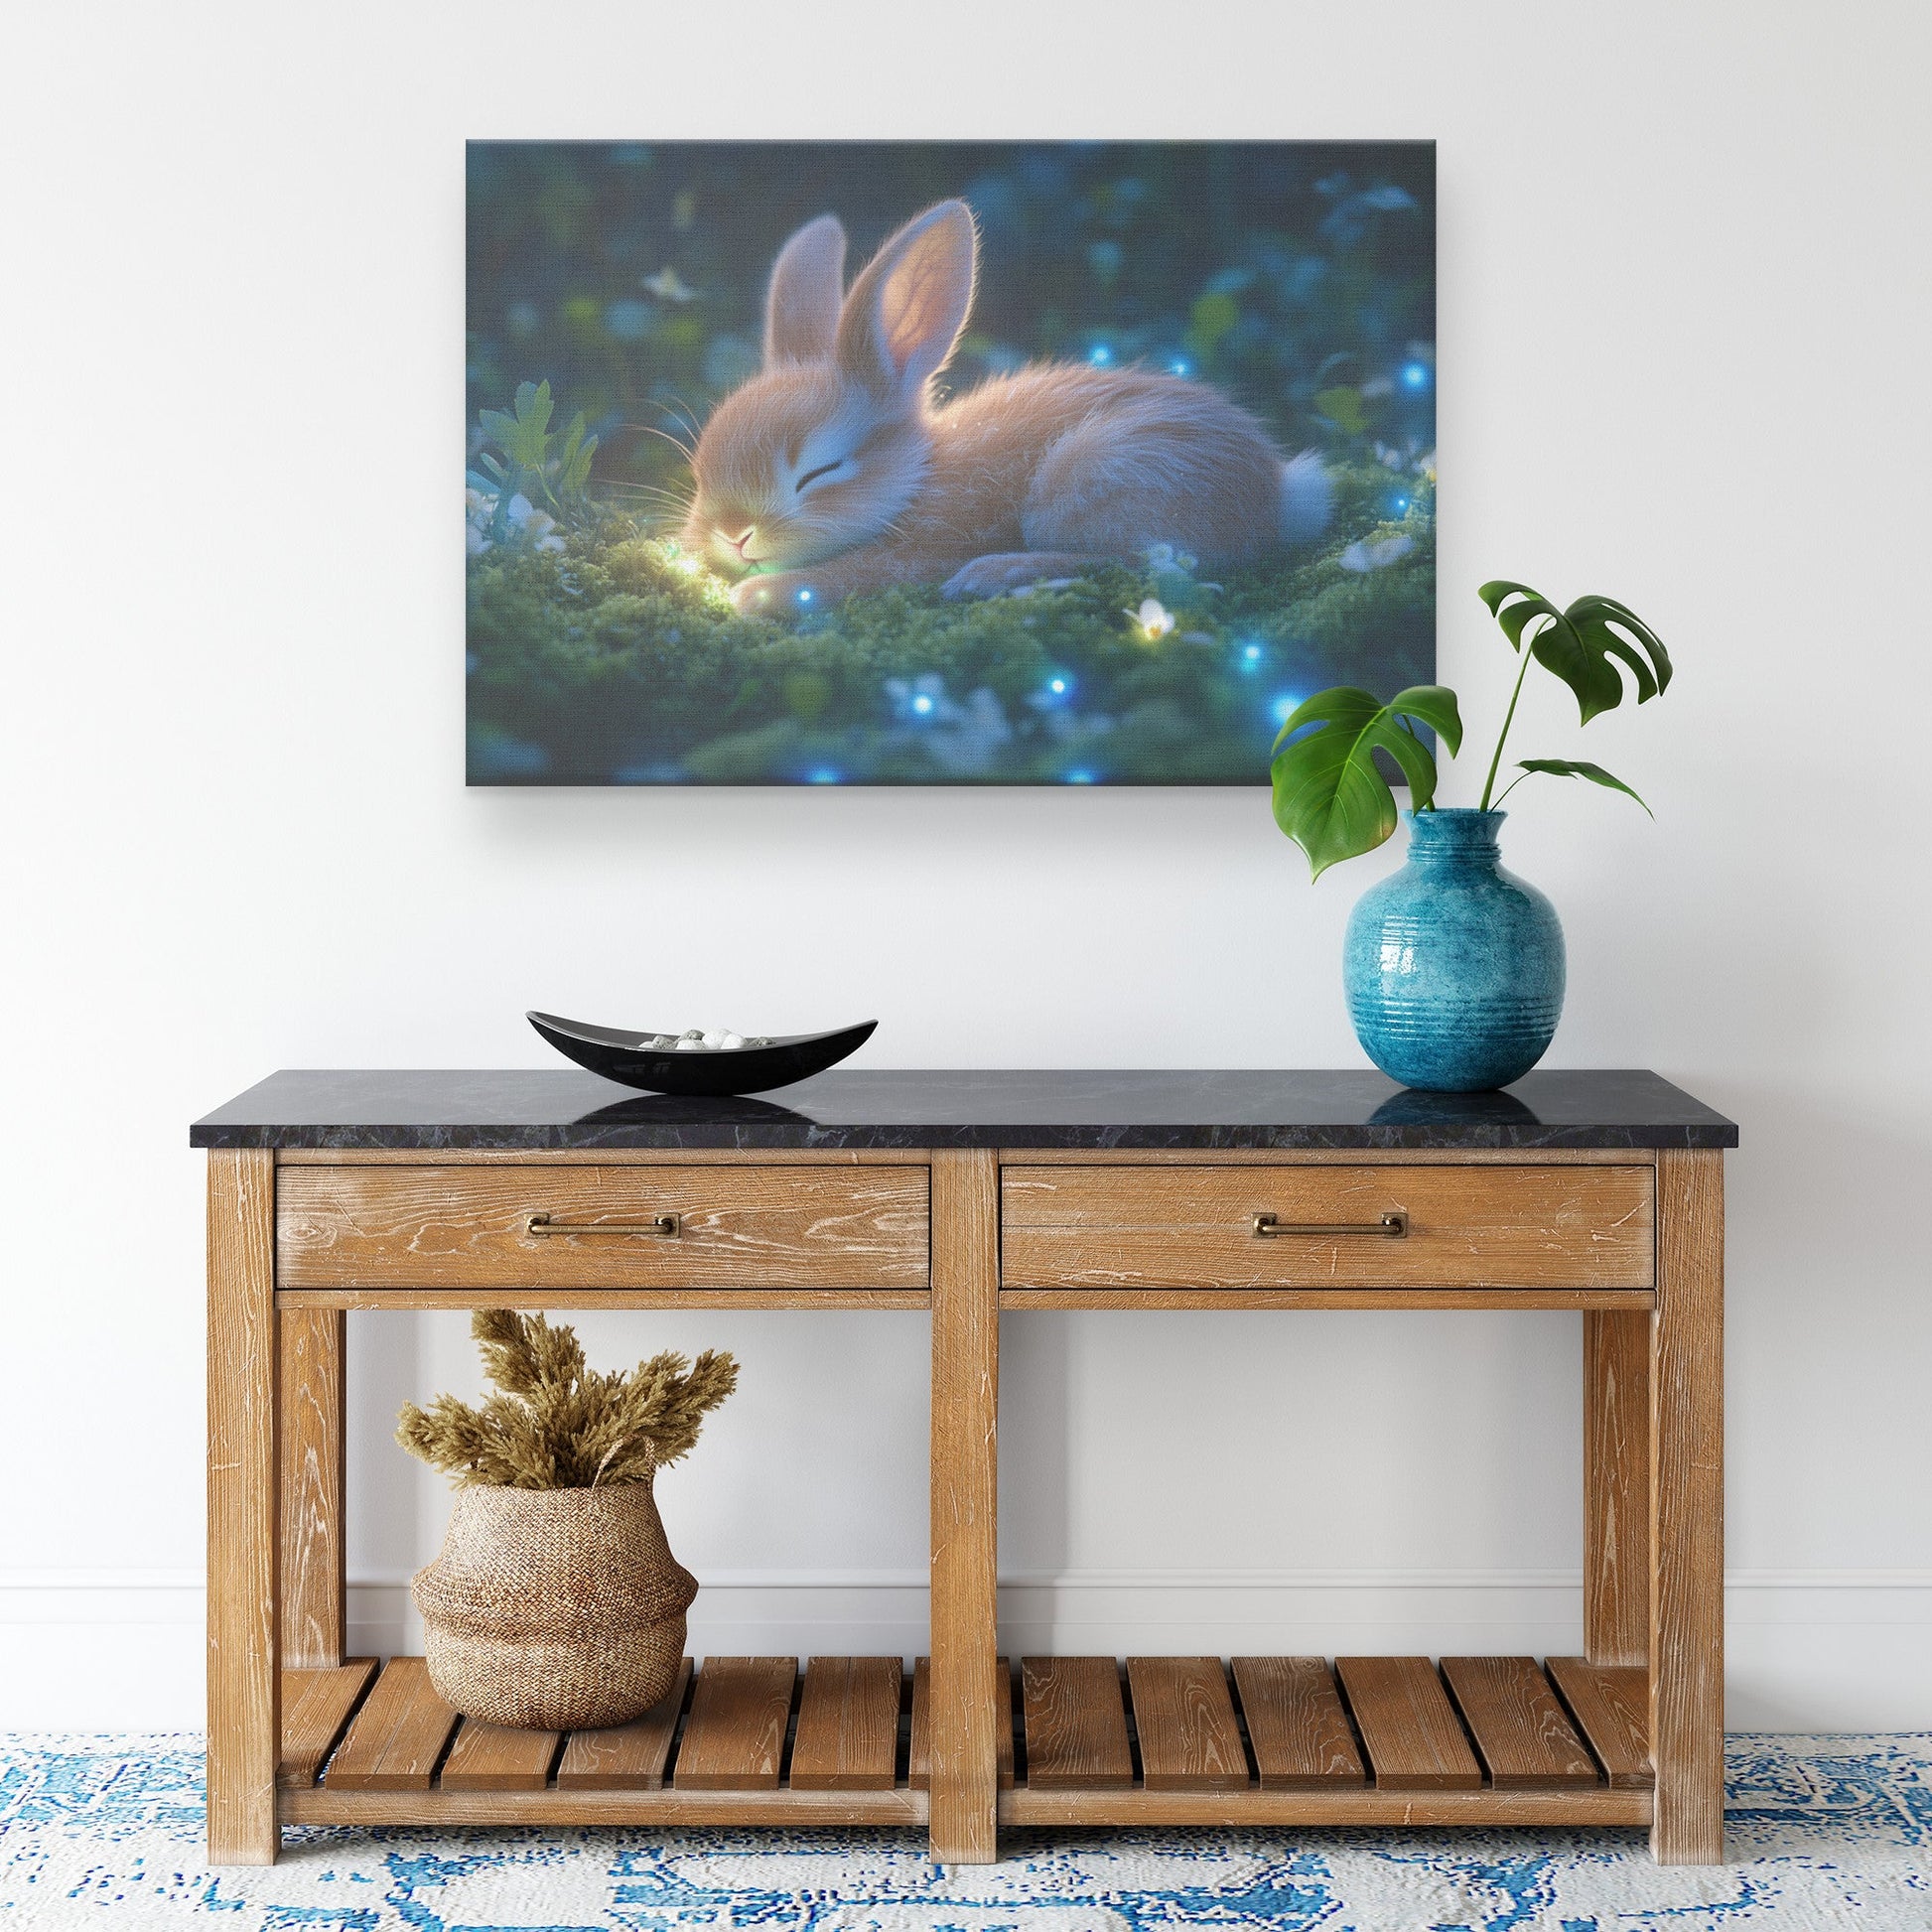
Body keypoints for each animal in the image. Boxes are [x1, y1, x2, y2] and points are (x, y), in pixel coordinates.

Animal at [681, 200, 1332, 614]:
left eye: (821, 471)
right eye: (699, 472)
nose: (732, 534)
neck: (918, 479)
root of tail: (1279, 495)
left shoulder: (928, 545)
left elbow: (857, 573)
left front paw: (754, 596)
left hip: (1091, 479)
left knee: (1151, 564)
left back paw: (991, 575)